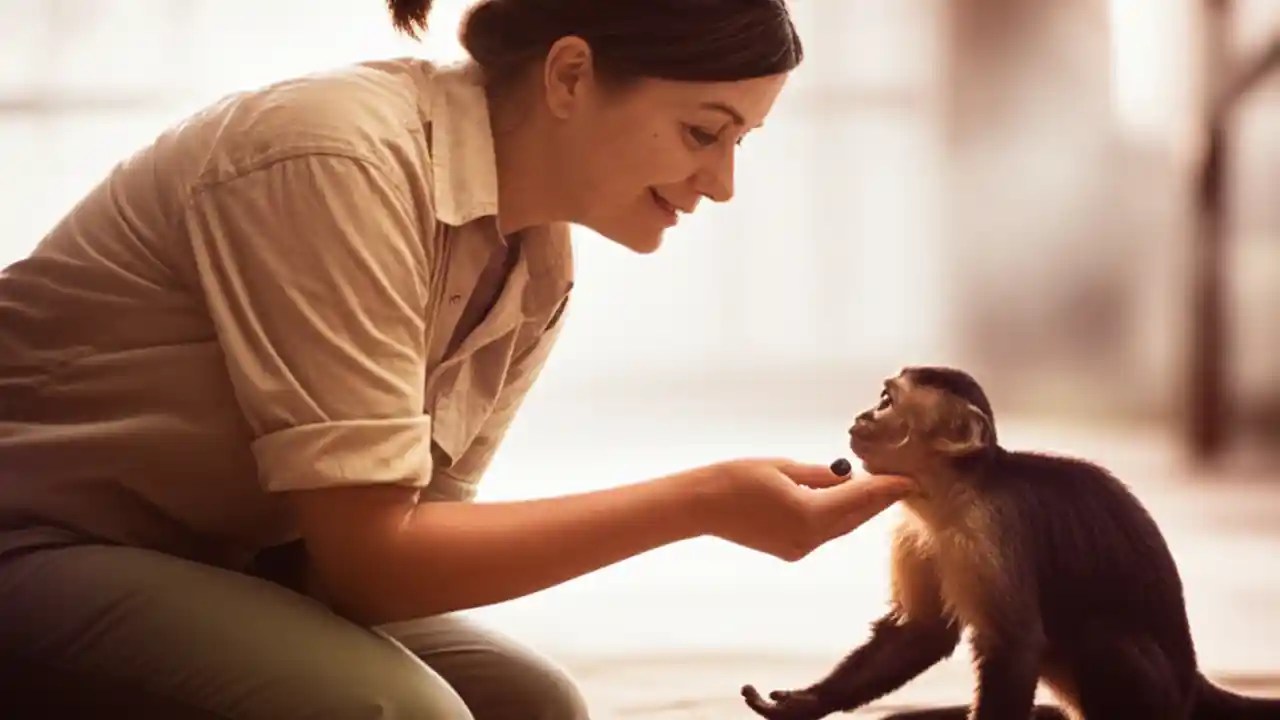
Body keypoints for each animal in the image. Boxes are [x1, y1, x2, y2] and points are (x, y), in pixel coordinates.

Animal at [741, 366, 1280, 720]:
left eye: (887, 401)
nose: (861, 416)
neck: (956, 493)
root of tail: (1193, 684)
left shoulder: (991, 528)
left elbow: (1013, 644)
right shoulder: (915, 530)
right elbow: (920, 632)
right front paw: (809, 702)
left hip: (1161, 698)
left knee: (1102, 634)